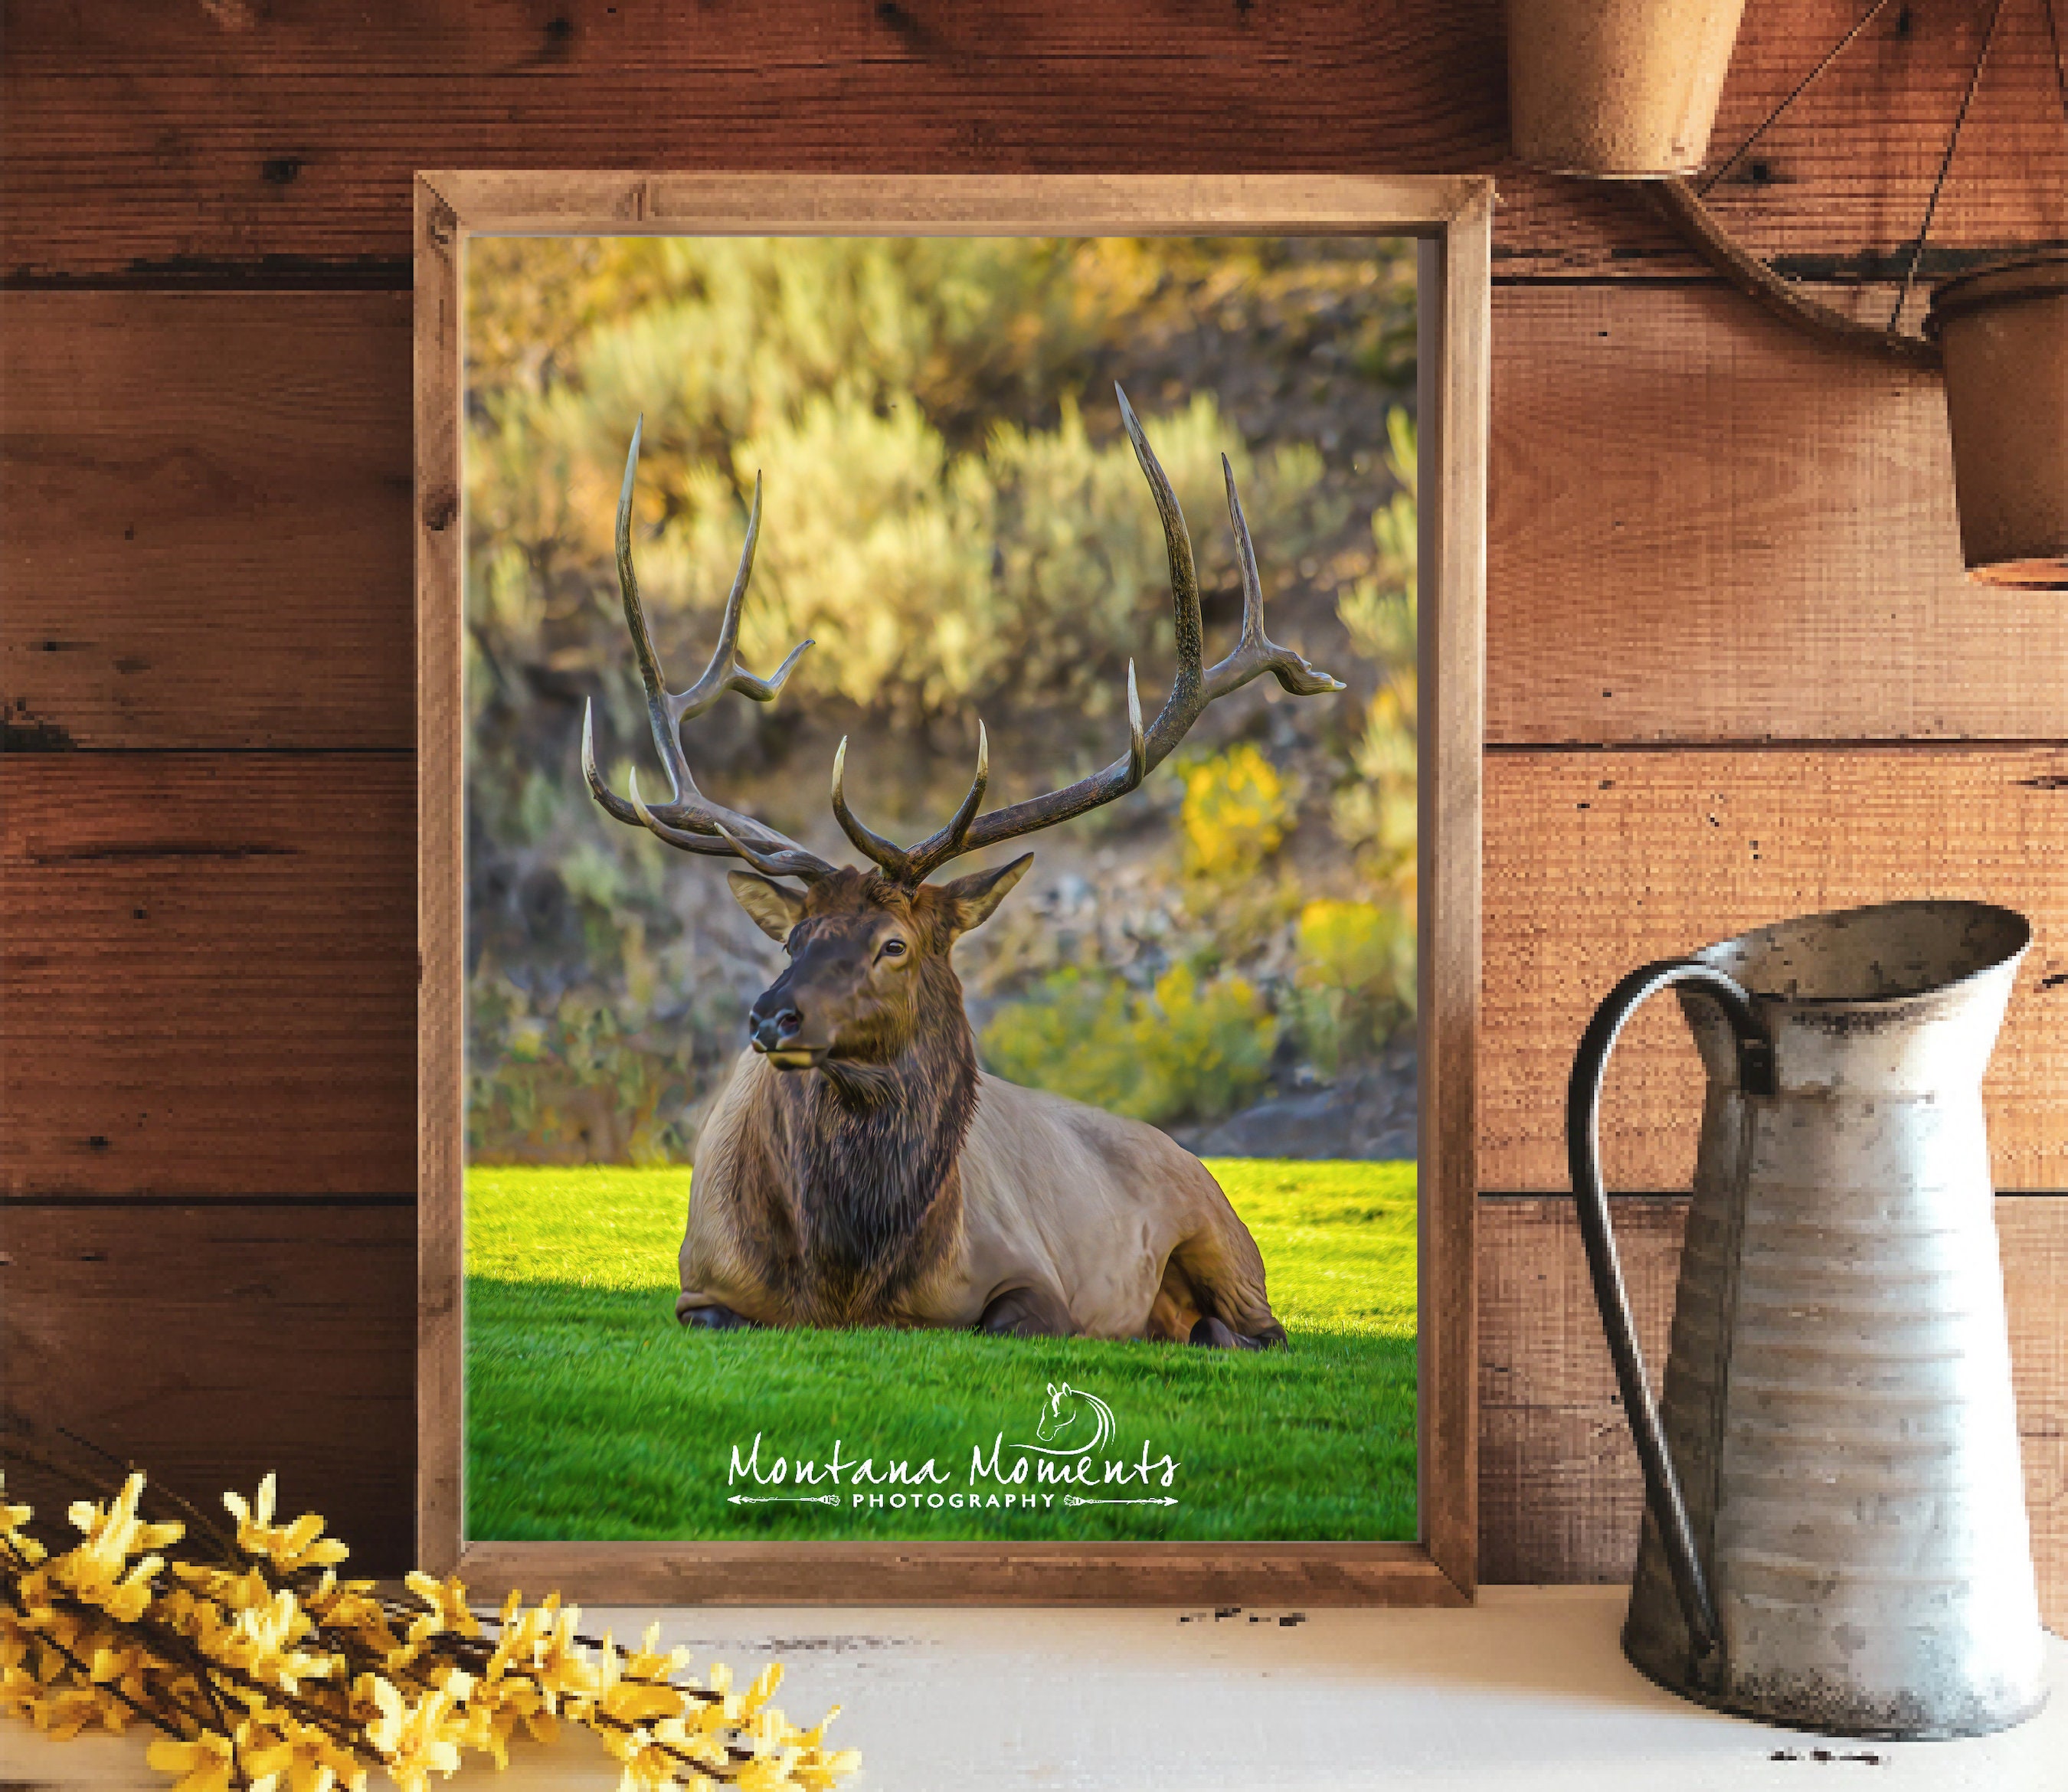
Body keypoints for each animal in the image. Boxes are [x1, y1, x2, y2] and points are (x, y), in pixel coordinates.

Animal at [580, 389, 1343, 1347]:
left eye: (894, 945)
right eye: (793, 937)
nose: (770, 1018)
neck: (846, 1285)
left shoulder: (1033, 1278)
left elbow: (1018, 1319)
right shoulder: (700, 1291)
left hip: (1228, 1240)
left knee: (1248, 1326)